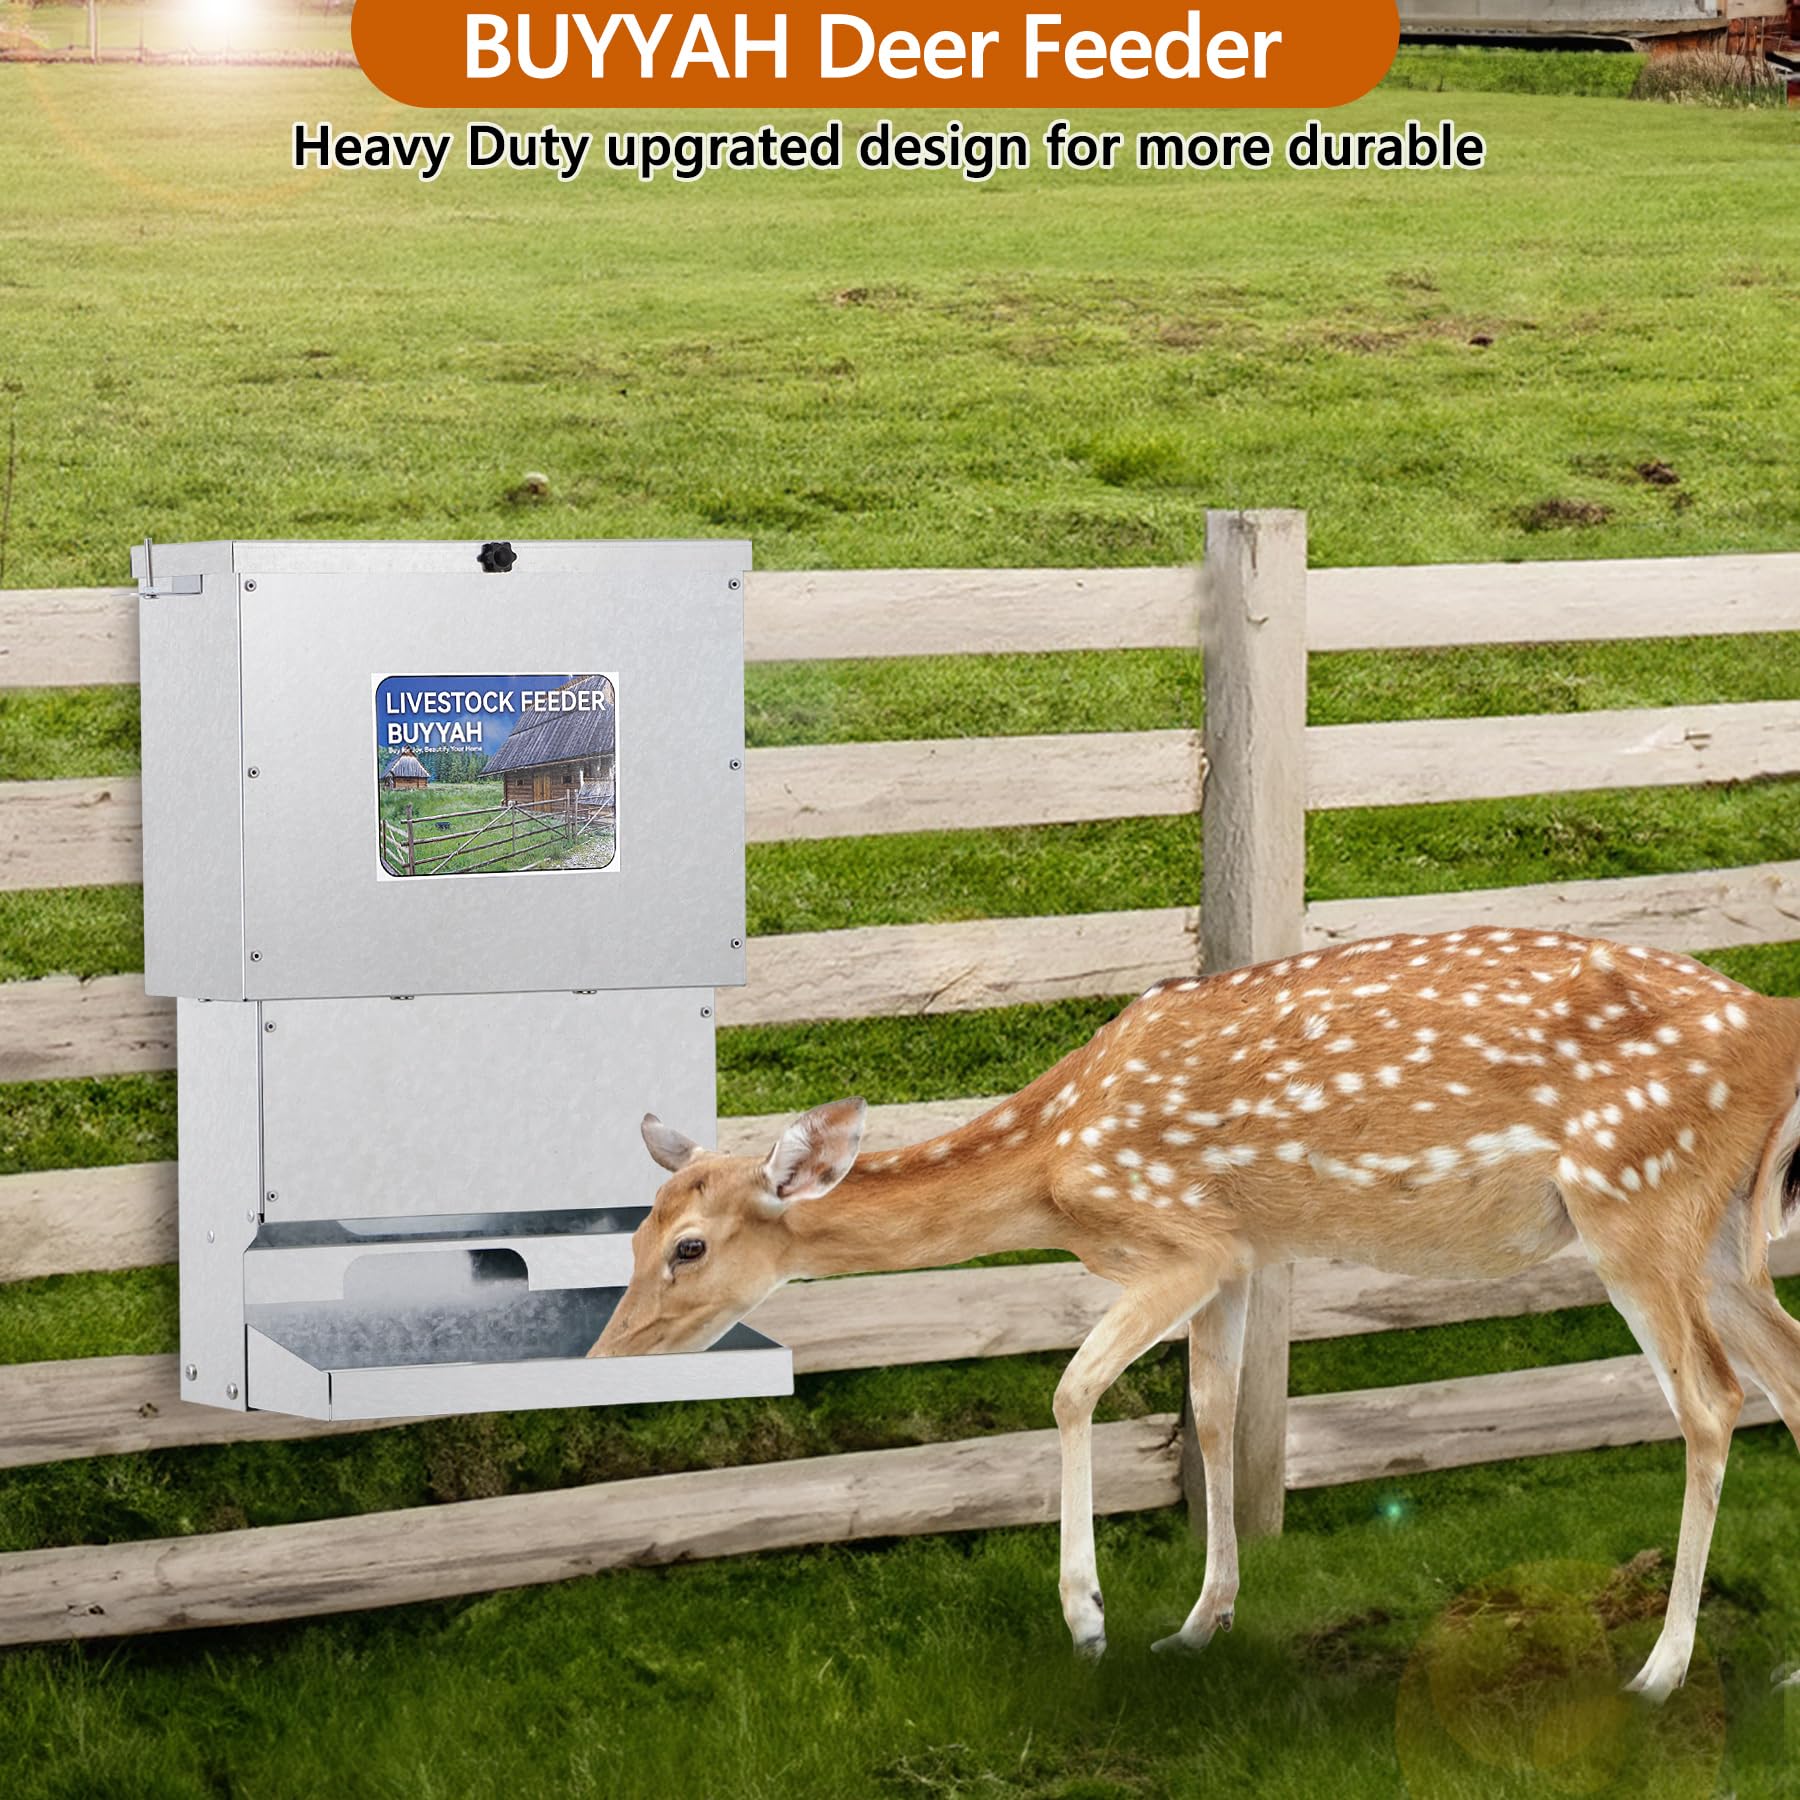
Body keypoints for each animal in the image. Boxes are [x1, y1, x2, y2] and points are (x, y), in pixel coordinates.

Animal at [590, 928, 1800, 1702]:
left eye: (690, 1248)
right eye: (634, 1236)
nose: (604, 1353)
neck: (1057, 1161)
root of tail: (1777, 1033)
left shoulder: (1185, 1239)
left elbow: (1073, 1387)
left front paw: (1089, 1618)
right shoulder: (1243, 1251)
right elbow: (1215, 1410)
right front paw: (1198, 1623)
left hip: (1634, 1199)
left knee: (1711, 1400)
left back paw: (1660, 1670)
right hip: (1717, 1234)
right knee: (1786, 1370)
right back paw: (1782, 1666)